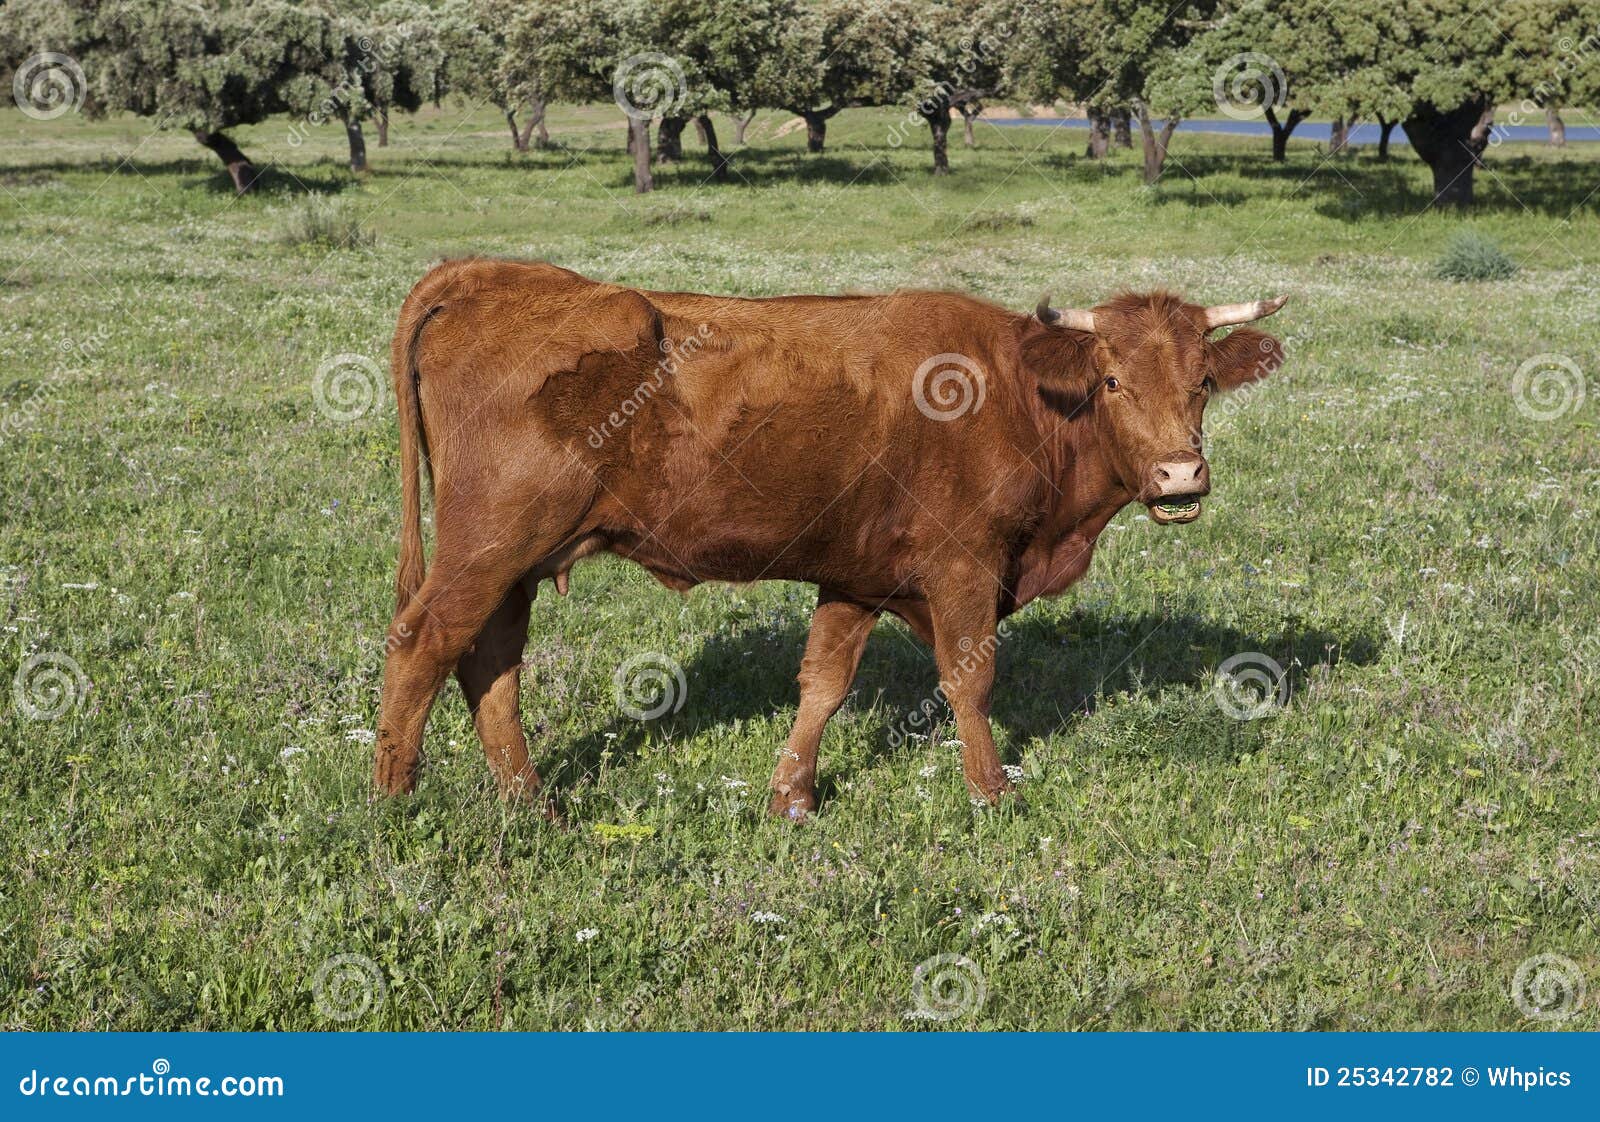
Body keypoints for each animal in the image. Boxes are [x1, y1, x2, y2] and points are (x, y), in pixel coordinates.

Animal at [373, 259, 1287, 819]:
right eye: (1113, 380)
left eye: (1203, 381)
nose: (1179, 474)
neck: (1018, 395)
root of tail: (496, 274)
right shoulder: (964, 563)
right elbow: (970, 681)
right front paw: (992, 792)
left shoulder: (856, 577)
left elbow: (823, 684)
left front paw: (792, 797)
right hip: (490, 544)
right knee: (424, 642)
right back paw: (394, 799)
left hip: (516, 562)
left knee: (489, 663)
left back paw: (532, 805)